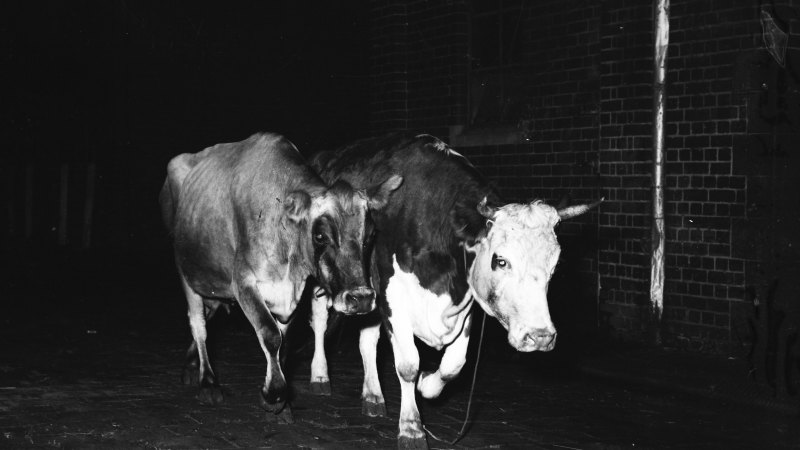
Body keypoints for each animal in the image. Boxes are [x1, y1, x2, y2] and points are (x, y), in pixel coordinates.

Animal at [159, 132, 402, 421]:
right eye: (320, 235)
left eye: (371, 235)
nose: (362, 298)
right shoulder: (243, 282)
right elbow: (270, 334)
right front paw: (273, 396)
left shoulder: (292, 291)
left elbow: (284, 341)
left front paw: (283, 402)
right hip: (186, 272)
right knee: (199, 325)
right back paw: (207, 382)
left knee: (209, 314)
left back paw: (190, 366)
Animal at [307, 133, 602, 449]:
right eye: (500, 260)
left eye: (554, 264)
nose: (541, 336)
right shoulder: (393, 296)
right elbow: (408, 364)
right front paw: (411, 427)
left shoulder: (465, 301)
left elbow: (454, 365)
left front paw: (427, 384)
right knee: (320, 322)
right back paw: (320, 376)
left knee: (367, 340)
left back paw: (373, 395)